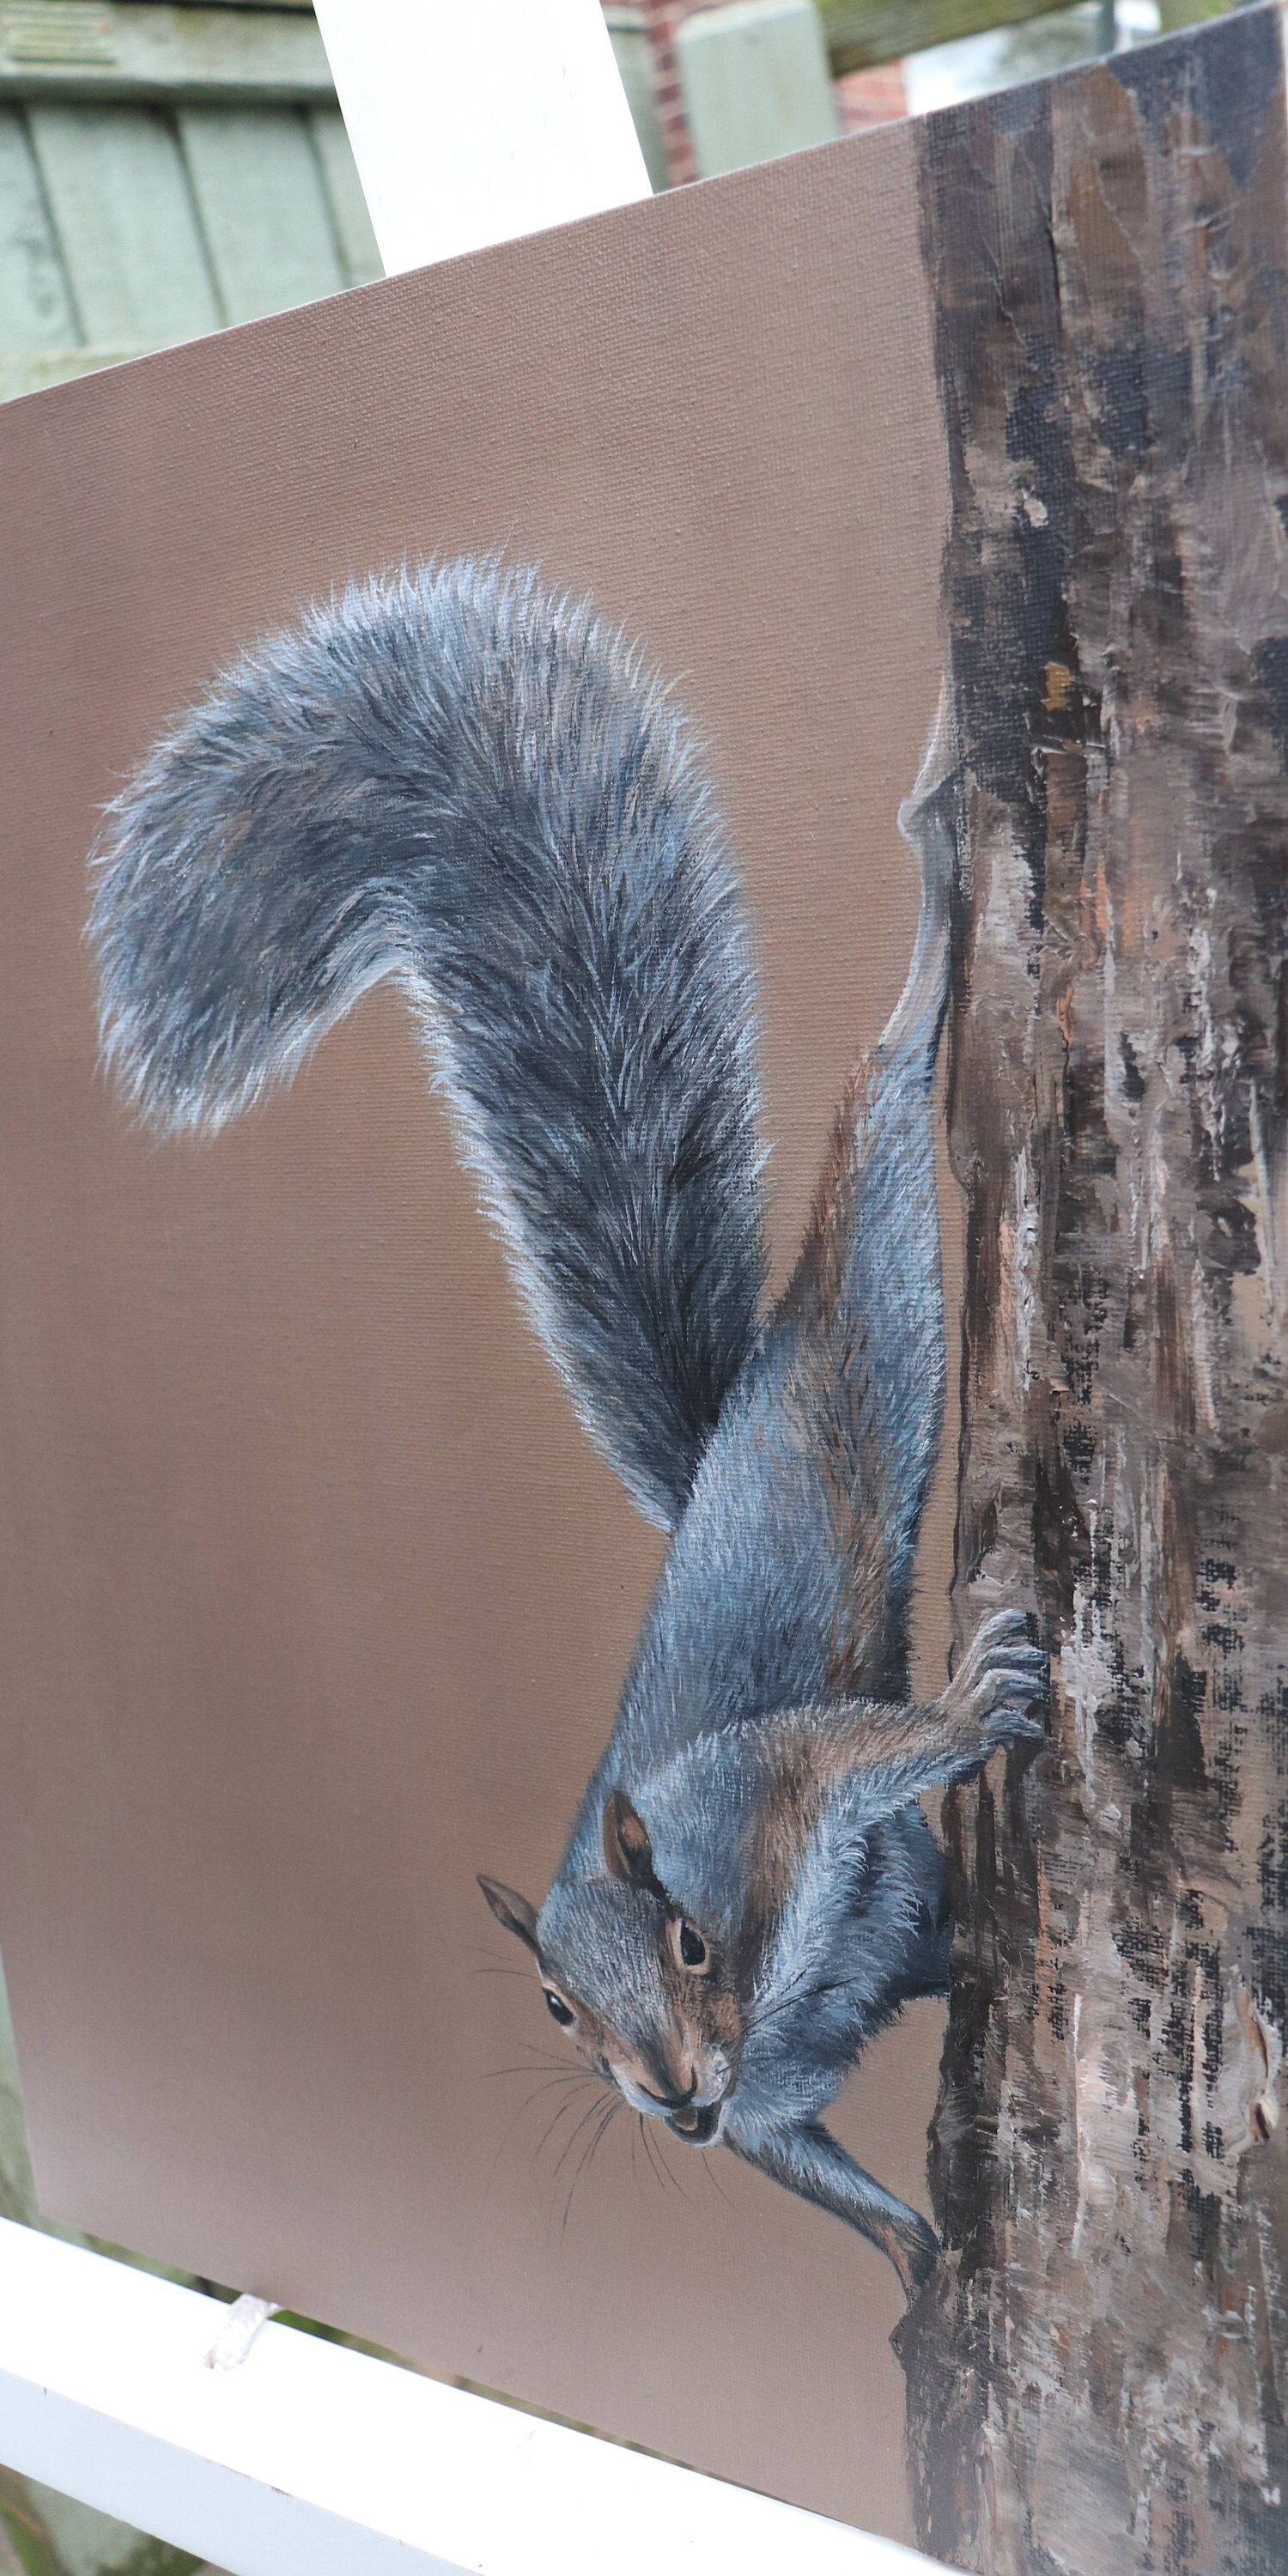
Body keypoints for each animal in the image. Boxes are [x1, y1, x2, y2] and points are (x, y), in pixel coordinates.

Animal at [88, 556, 1046, 2298]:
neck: (764, 2009)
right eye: (552, 2009)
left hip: (855, 1342)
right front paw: (914, 2270)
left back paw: (940, 871)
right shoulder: (767, 2120)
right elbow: (821, 2176)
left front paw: (970, 1700)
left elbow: (851, 1749)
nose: (667, 2103)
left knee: (878, 1114)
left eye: (690, 1937)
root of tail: (729, 1427)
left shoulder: (767, 1798)